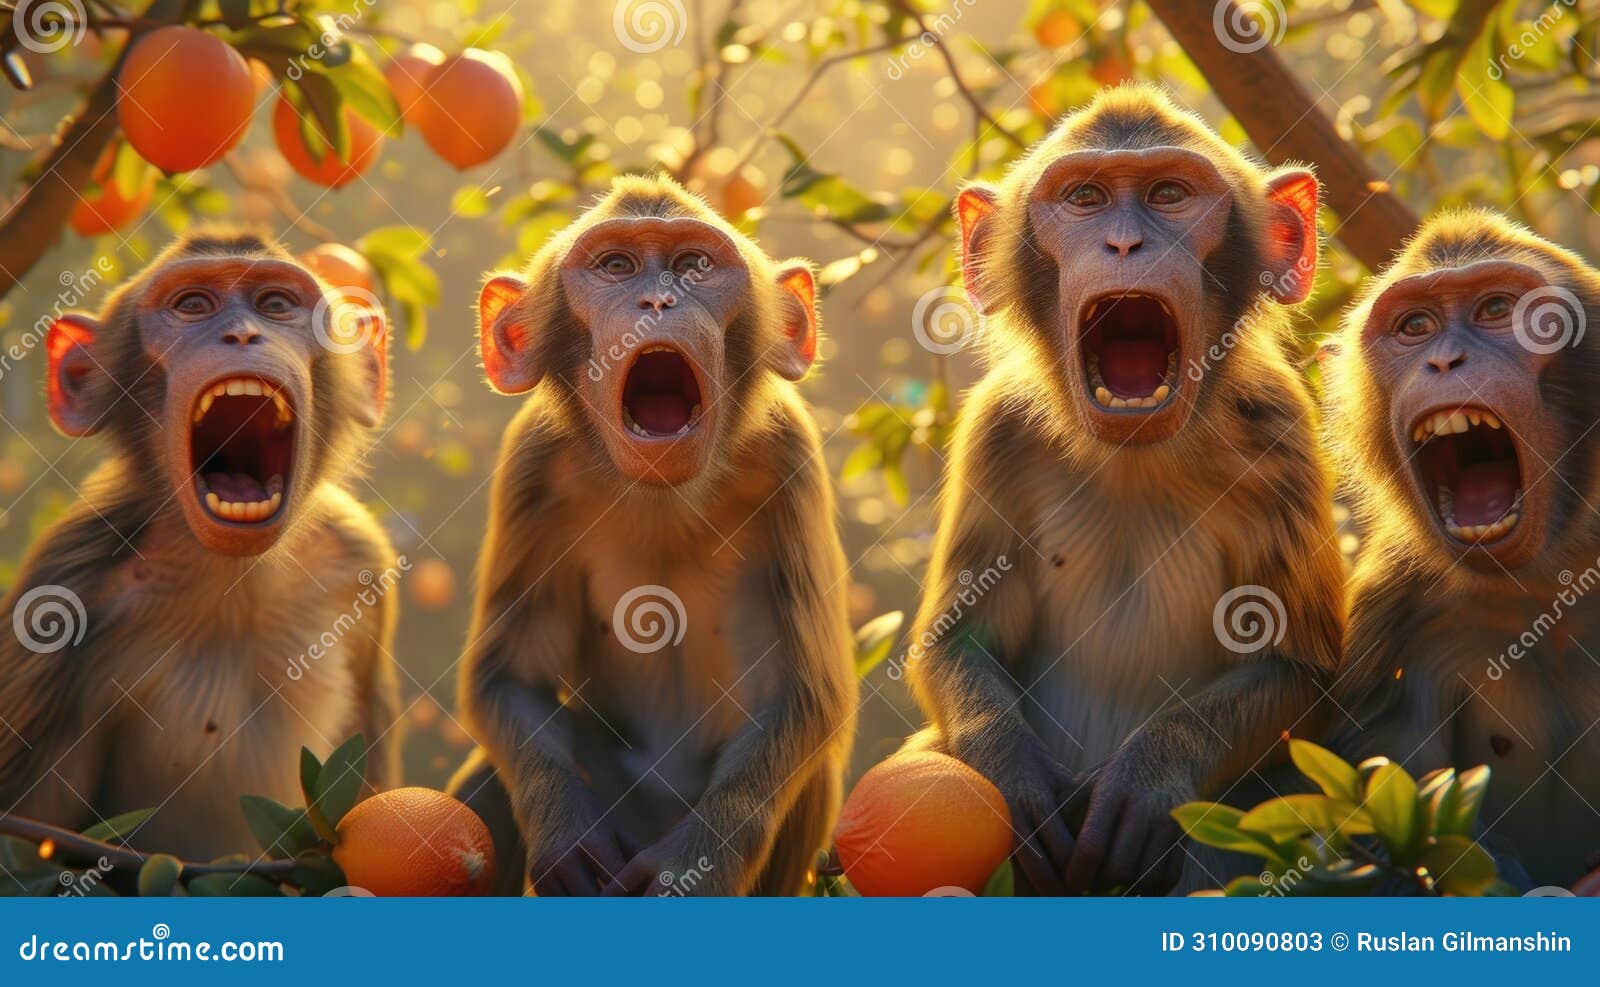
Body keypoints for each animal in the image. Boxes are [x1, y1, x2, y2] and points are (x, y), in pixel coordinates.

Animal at [0, 230, 401, 862]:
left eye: (276, 305)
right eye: (192, 306)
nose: (241, 334)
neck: (236, 573)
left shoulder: (359, 552)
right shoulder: (63, 587)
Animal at [446, 175, 855, 896]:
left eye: (693, 265)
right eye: (616, 266)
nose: (659, 299)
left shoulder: (789, 453)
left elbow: (802, 695)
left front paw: (690, 865)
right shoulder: (533, 463)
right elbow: (509, 678)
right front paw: (566, 835)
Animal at [900, 85, 1346, 896]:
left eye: (1170, 195)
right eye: (1085, 199)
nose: (1124, 244)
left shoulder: (1281, 431)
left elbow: (1302, 670)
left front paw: (1150, 770)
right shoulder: (998, 429)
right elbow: (957, 640)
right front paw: (1012, 771)